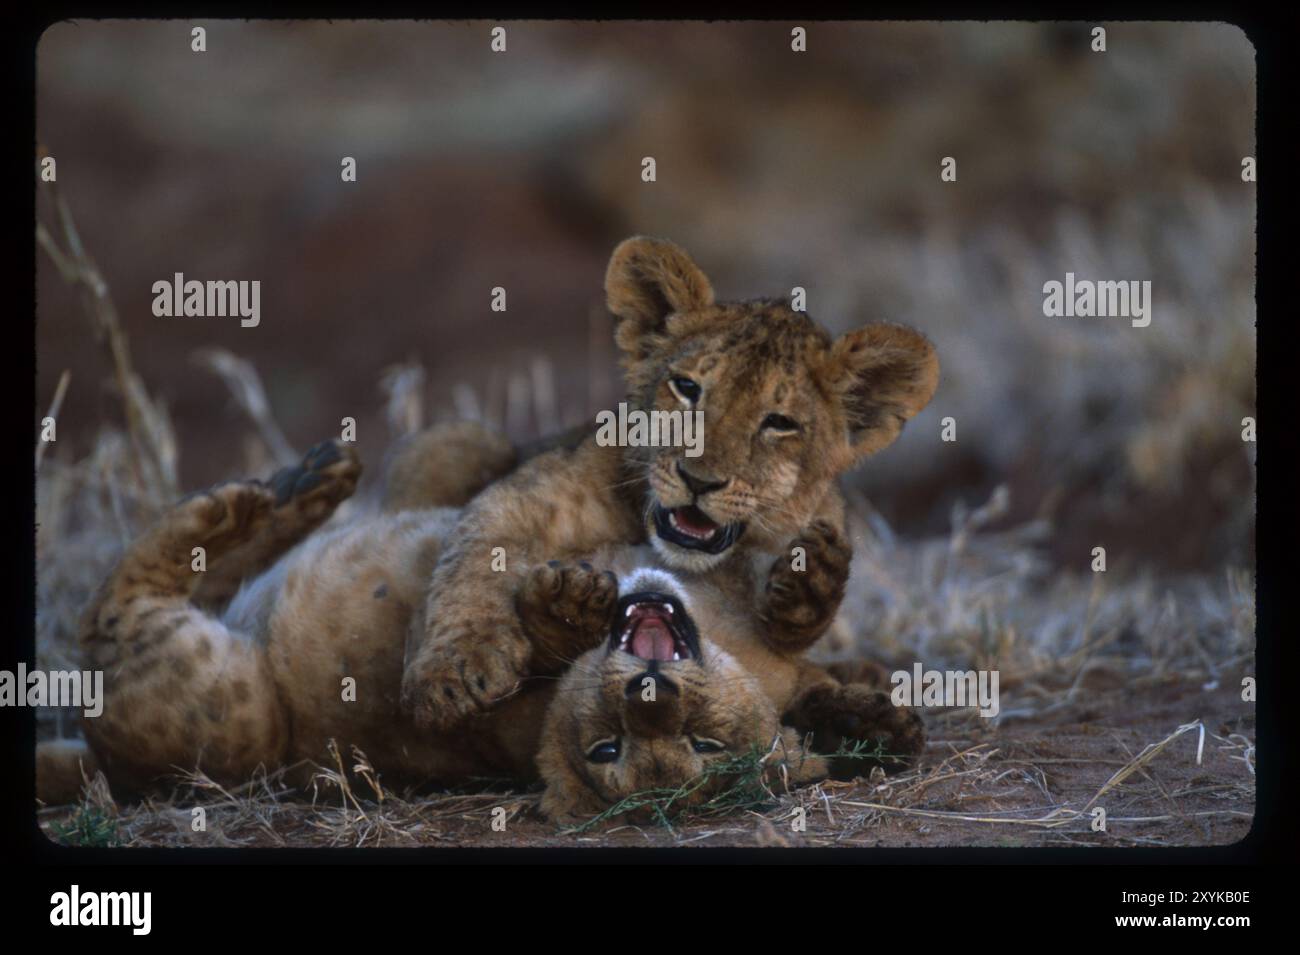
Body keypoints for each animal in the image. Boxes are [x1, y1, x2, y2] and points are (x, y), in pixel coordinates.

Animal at [39, 435, 923, 822]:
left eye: (698, 747)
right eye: (608, 748)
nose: (650, 690)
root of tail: (112, 767)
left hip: (224, 702)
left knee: (116, 604)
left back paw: (251, 499)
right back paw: (308, 480)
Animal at [401, 236, 939, 730]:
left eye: (779, 423)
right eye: (687, 388)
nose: (698, 480)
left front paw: (812, 587)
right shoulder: (523, 499)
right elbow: (471, 561)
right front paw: (456, 671)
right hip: (459, 438)